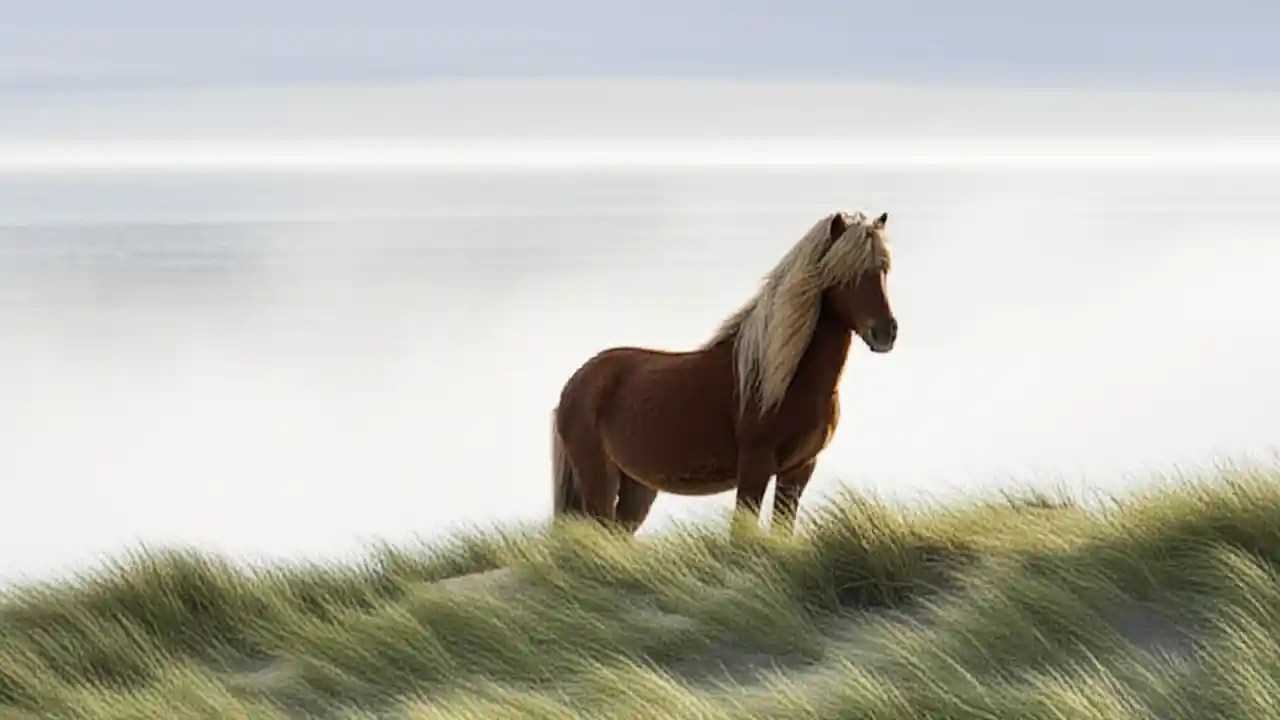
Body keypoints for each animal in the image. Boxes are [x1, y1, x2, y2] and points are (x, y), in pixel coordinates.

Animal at [550, 209, 897, 536]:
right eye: (845, 273)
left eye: (883, 270)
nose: (885, 332)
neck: (783, 379)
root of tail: (574, 383)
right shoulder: (755, 466)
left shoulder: (798, 470)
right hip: (599, 480)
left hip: (638, 486)